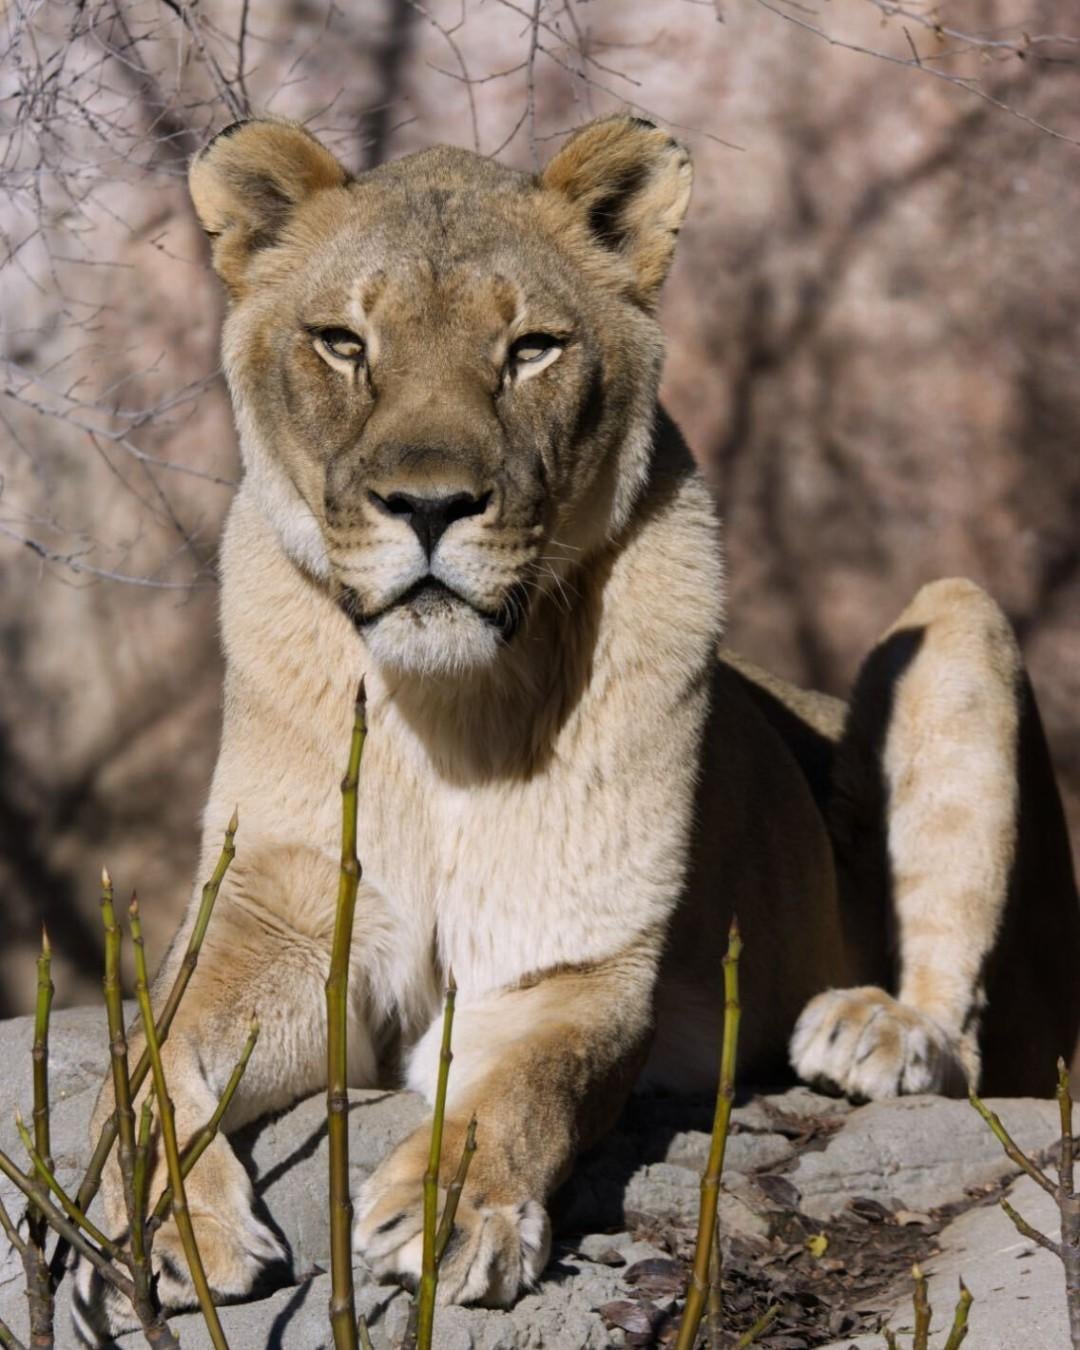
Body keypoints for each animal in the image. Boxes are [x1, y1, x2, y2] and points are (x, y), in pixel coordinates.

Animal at [75, 115, 1080, 1340]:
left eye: (532, 350)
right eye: (344, 343)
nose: (429, 507)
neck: (445, 710)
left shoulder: (577, 961)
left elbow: (524, 1088)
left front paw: (453, 1216)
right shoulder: (279, 924)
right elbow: (147, 1058)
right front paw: (168, 1223)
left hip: (957, 618)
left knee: (970, 1040)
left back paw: (873, 1032)